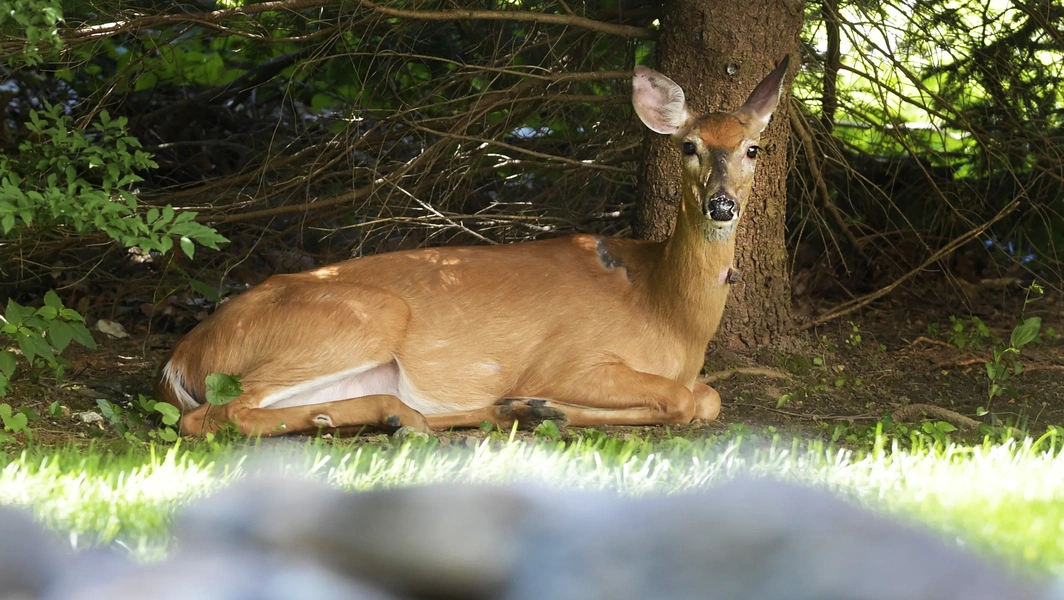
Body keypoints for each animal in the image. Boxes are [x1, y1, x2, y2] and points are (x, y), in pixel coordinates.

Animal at [158, 56, 791, 436]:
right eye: (688, 146)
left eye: (753, 148)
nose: (721, 205)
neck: (666, 311)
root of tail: (180, 355)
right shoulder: (570, 357)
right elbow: (688, 399)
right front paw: (541, 404)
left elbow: (705, 397)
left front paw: (533, 408)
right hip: (358, 319)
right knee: (214, 415)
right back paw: (427, 414)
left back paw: (434, 413)